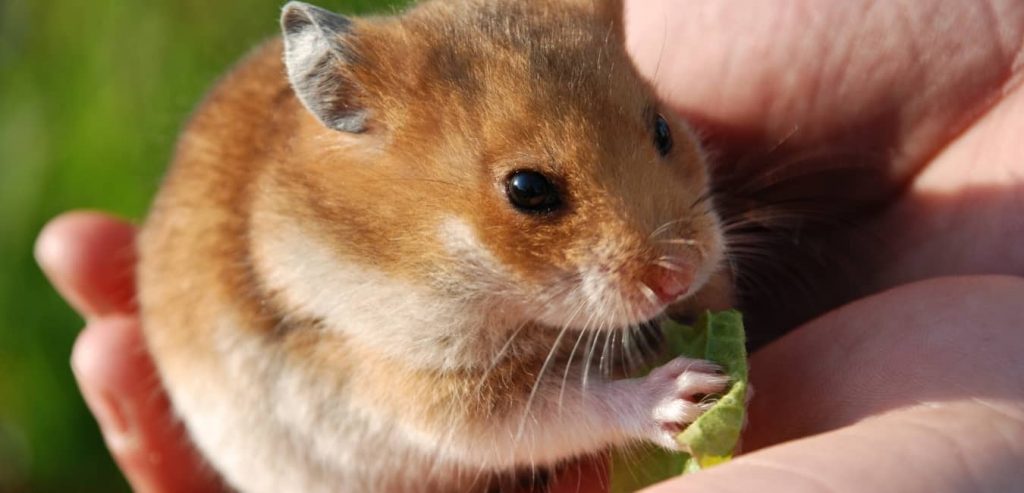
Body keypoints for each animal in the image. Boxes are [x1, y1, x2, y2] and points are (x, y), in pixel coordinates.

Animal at [137, 0, 733, 491]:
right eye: (527, 189)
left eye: (663, 130)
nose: (680, 275)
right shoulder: (434, 394)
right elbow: (568, 405)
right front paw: (693, 391)